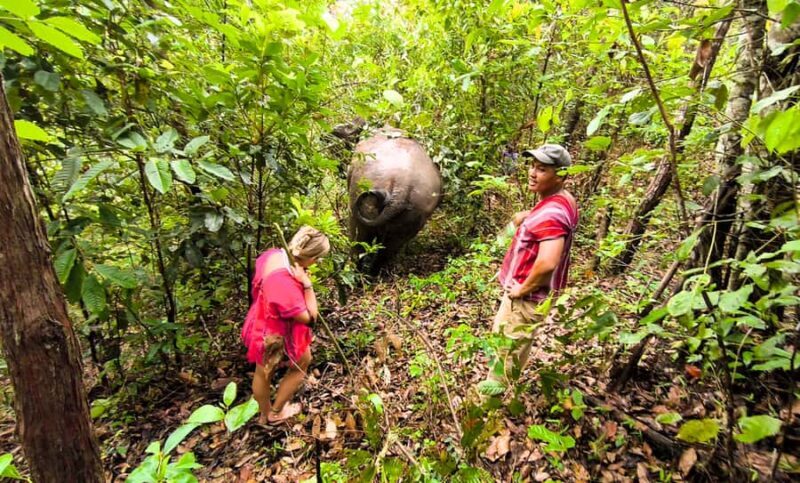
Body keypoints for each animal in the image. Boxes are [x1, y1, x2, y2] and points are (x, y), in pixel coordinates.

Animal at [347, 128, 442, 273]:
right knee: (390, 247)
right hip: (415, 212)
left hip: (363, 186)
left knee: (358, 234)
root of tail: (403, 184)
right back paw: (372, 273)